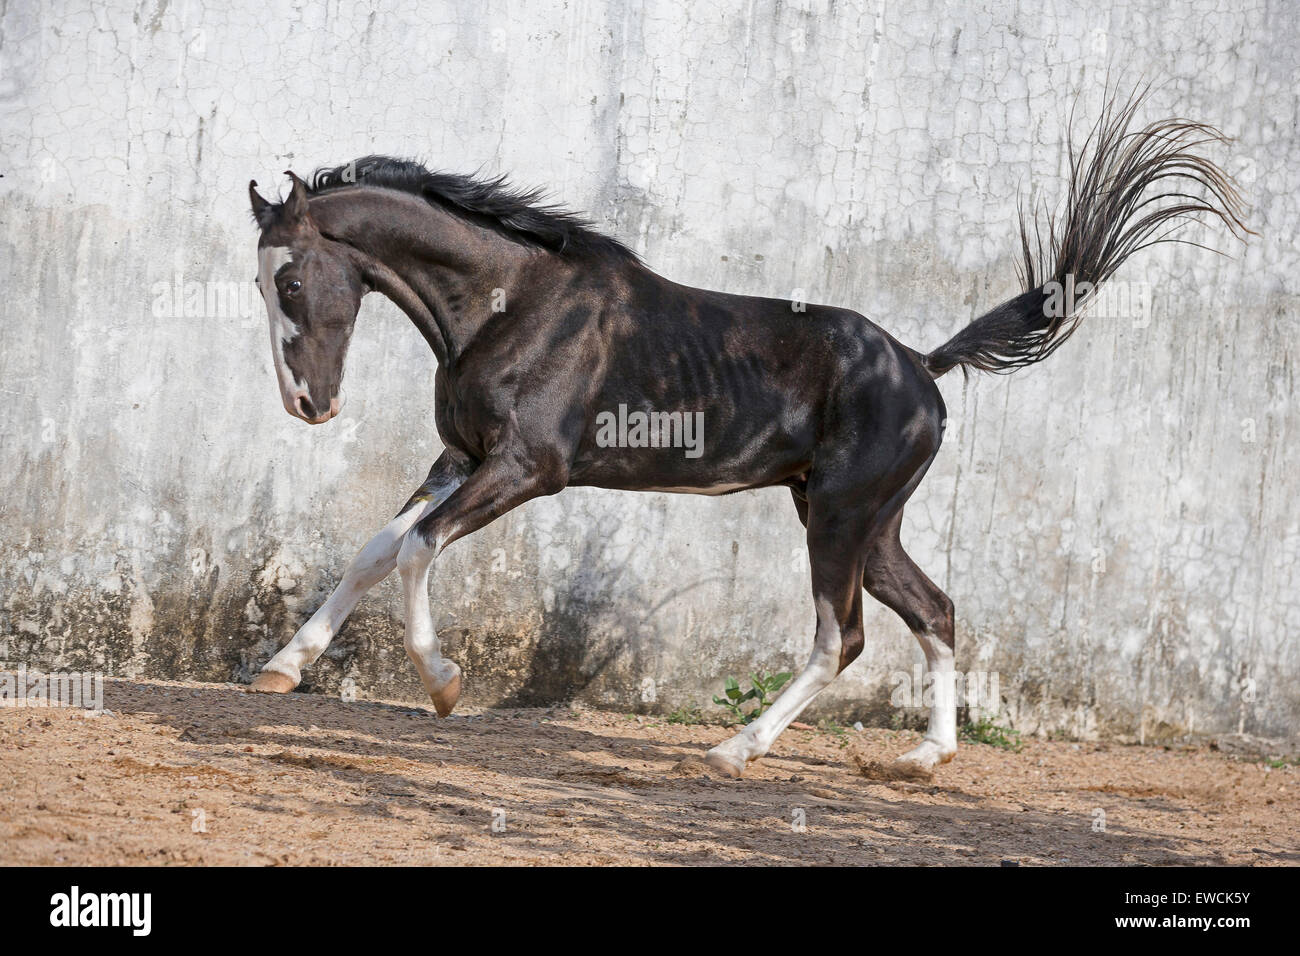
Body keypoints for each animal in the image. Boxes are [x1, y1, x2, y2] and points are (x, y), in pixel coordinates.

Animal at [245, 89, 1248, 777]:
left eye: (290, 281)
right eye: (263, 283)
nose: (307, 405)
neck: (512, 306)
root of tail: (924, 367)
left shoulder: (529, 467)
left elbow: (417, 549)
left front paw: (445, 683)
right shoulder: (461, 457)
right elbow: (377, 548)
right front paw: (282, 670)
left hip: (840, 519)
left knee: (842, 637)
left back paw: (736, 749)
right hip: (865, 522)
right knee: (934, 609)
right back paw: (925, 758)